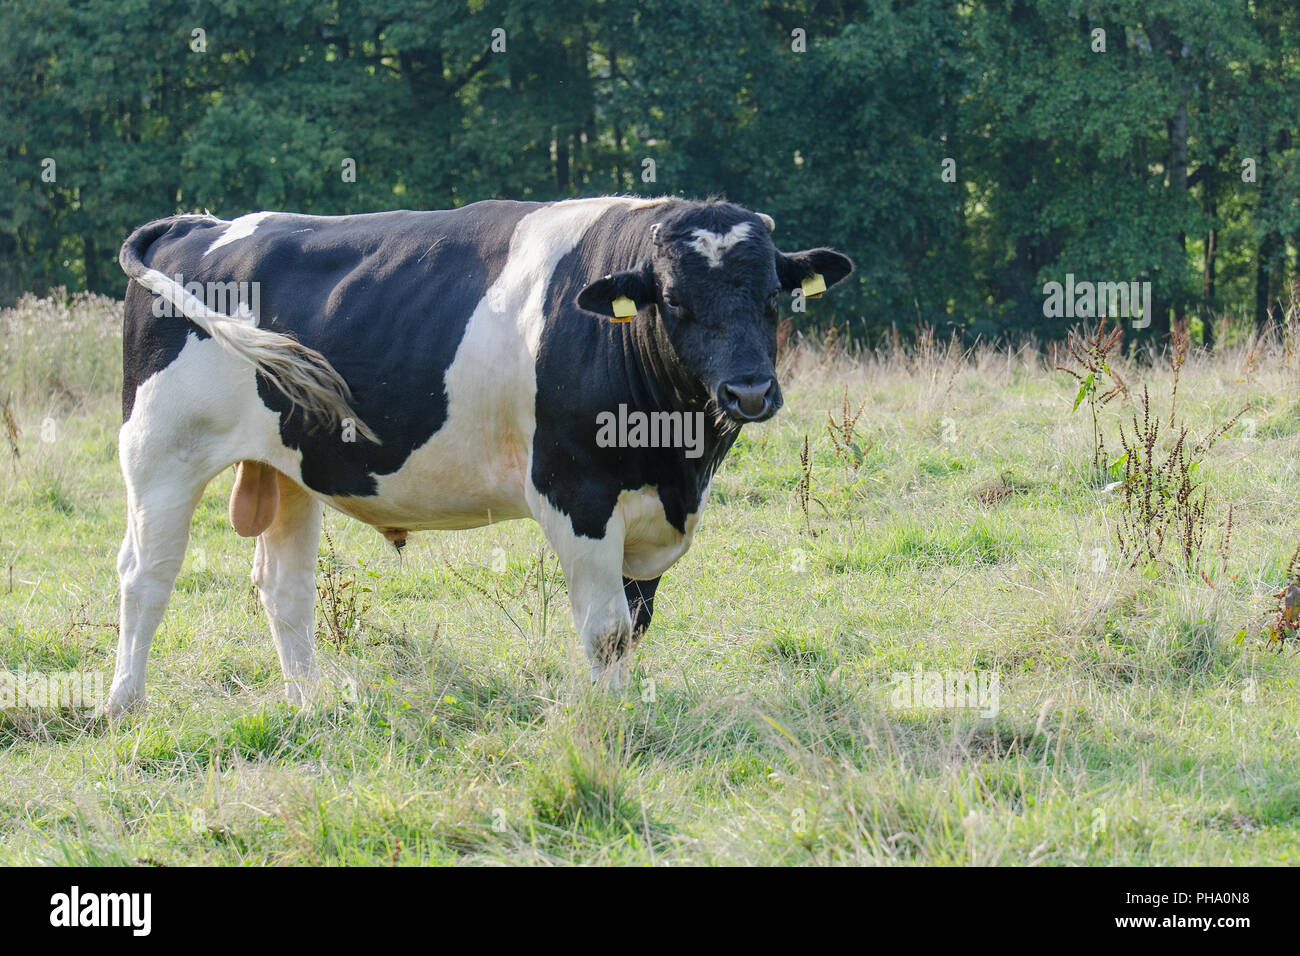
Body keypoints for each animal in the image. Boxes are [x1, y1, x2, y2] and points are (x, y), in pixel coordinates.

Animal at [107, 197, 853, 715]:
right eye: (673, 301)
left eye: (774, 295)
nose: (749, 390)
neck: (676, 457)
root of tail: (197, 224)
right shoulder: (574, 492)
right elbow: (608, 630)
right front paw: (612, 722)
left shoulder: (652, 508)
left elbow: (636, 625)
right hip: (160, 453)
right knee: (145, 577)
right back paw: (124, 705)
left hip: (288, 467)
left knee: (283, 586)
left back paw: (310, 705)